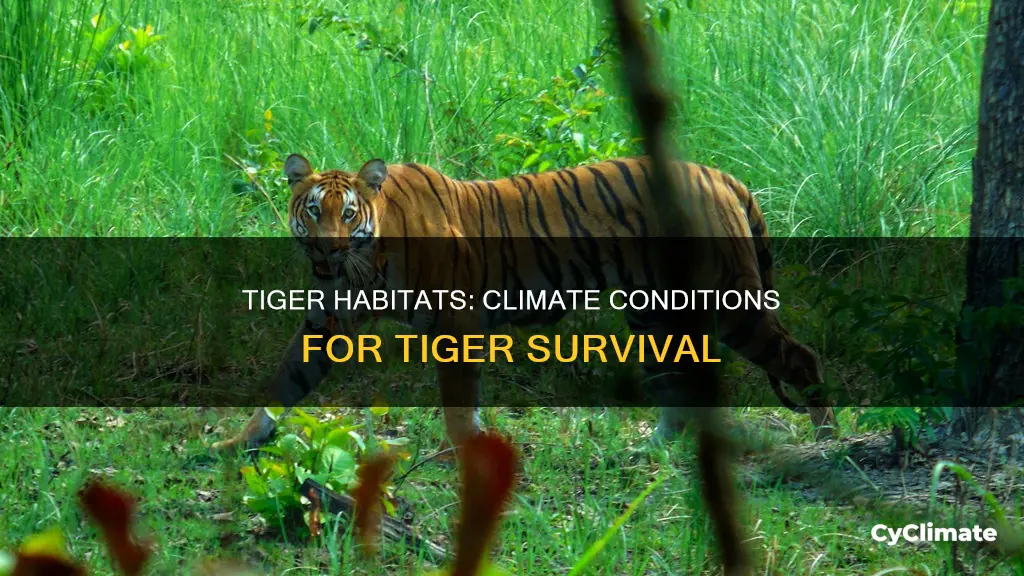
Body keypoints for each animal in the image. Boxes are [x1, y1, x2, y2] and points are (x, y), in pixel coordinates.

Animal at [211, 154, 838, 454]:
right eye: (313, 210)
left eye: (347, 214)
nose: (327, 249)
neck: (369, 254)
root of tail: (720, 174)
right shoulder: (328, 319)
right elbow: (285, 380)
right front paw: (239, 441)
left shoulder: (454, 320)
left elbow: (458, 401)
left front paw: (463, 454)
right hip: (656, 311)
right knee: (680, 384)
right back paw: (653, 450)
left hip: (730, 304)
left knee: (801, 357)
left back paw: (832, 444)